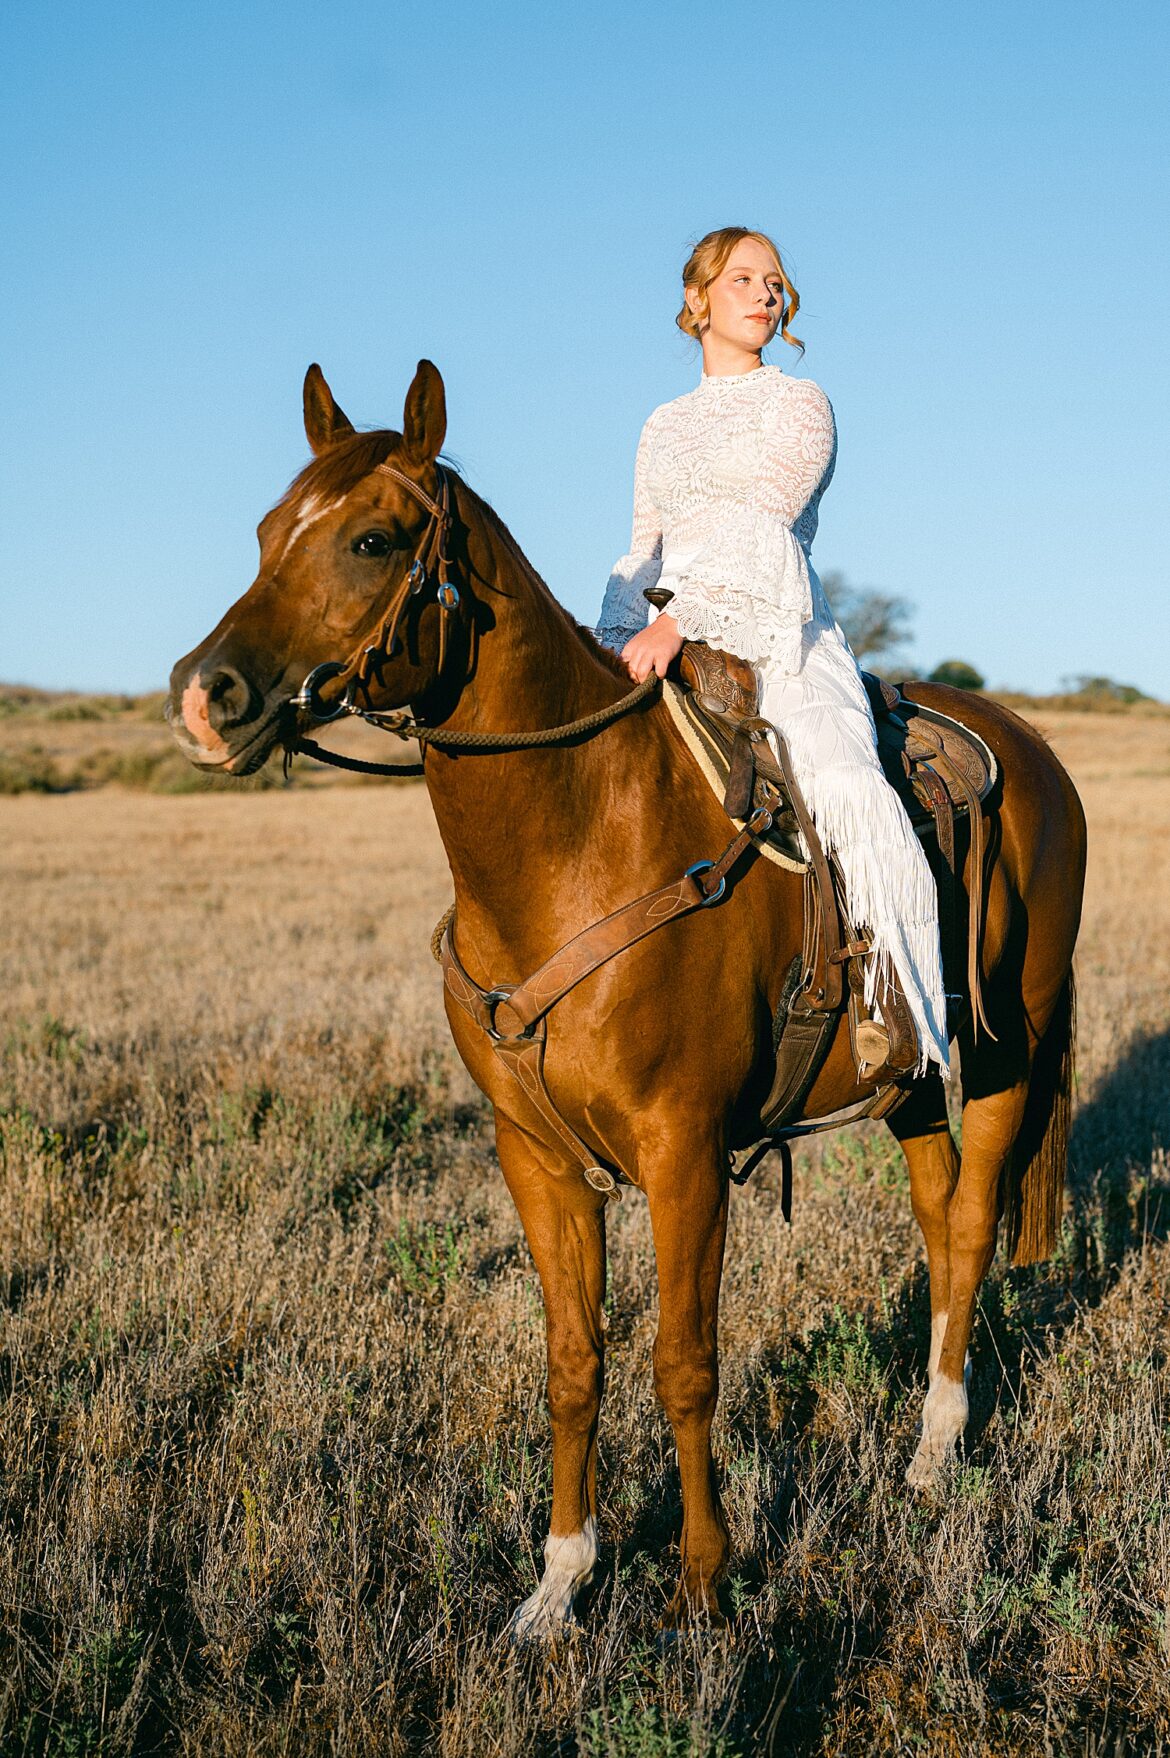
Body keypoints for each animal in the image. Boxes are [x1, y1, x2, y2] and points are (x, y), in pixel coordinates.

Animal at [168, 359, 1087, 1637]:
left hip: (1005, 1055)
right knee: (940, 1217)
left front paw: (703, 1580)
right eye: (266, 533)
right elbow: (574, 1362)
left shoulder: (684, 1151)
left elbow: (683, 1363)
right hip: (907, 1076)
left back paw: (935, 1454)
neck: (579, 839)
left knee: (973, 1222)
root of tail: (1035, 752)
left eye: (370, 538)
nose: (205, 697)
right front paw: (559, 1583)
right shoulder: (537, 1158)